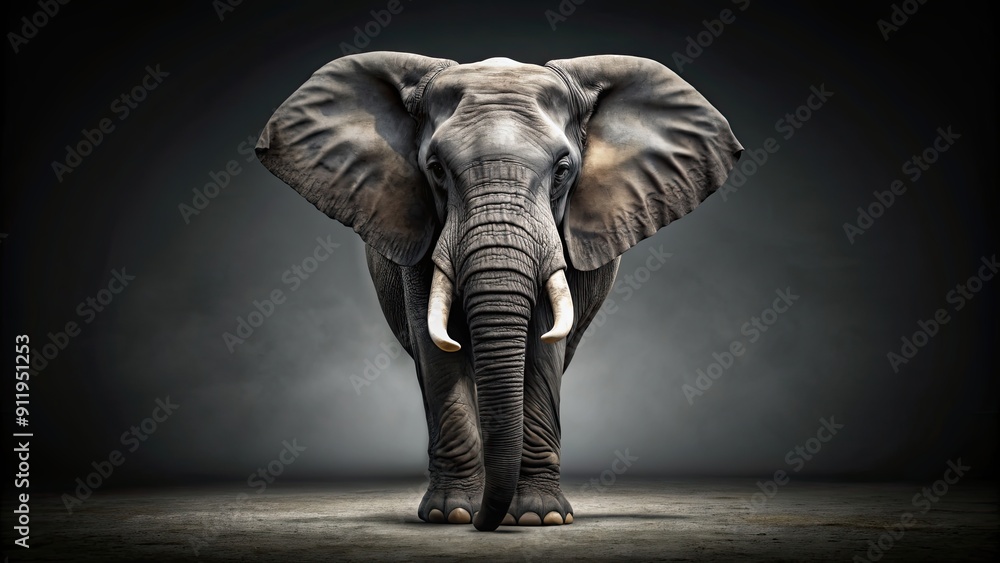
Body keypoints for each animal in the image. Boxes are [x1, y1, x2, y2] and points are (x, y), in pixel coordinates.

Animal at [255, 51, 742, 531]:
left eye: (563, 171)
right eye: (435, 170)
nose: (483, 524)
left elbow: (544, 345)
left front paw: (540, 516)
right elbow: (436, 350)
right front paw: (451, 513)